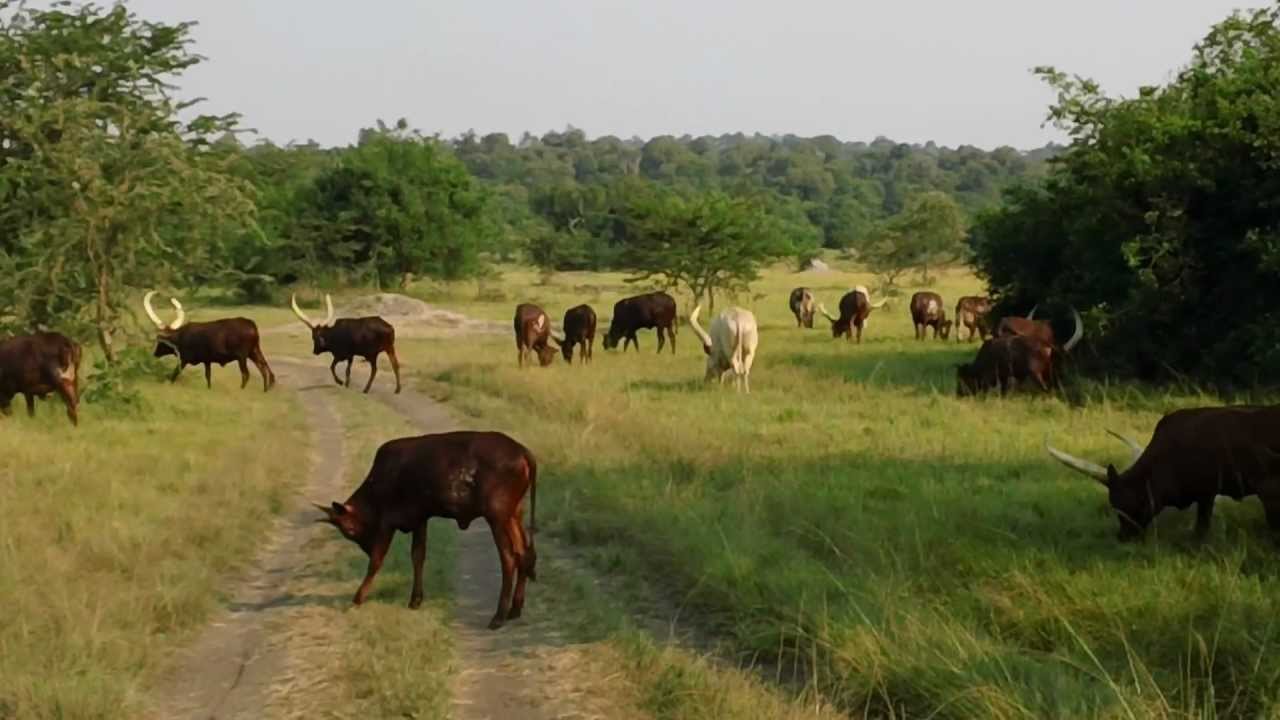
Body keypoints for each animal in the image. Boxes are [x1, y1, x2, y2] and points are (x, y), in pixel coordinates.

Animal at [144, 291, 275, 391]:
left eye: (160, 342)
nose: (155, 354)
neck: (180, 337)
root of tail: (251, 325)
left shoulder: (184, 360)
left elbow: (175, 373)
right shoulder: (207, 360)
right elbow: (208, 376)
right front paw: (209, 388)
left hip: (242, 356)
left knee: (246, 374)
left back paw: (242, 389)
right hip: (254, 351)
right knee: (264, 368)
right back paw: (266, 389)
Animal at [315, 430, 537, 629]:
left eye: (350, 530)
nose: (365, 548)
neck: (376, 486)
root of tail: (522, 450)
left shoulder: (387, 522)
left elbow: (377, 561)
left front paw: (358, 598)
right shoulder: (419, 518)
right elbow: (418, 556)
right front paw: (415, 600)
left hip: (497, 517)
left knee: (509, 558)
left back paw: (499, 616)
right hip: (514, 514)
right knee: (524, 553)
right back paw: (515, 609)